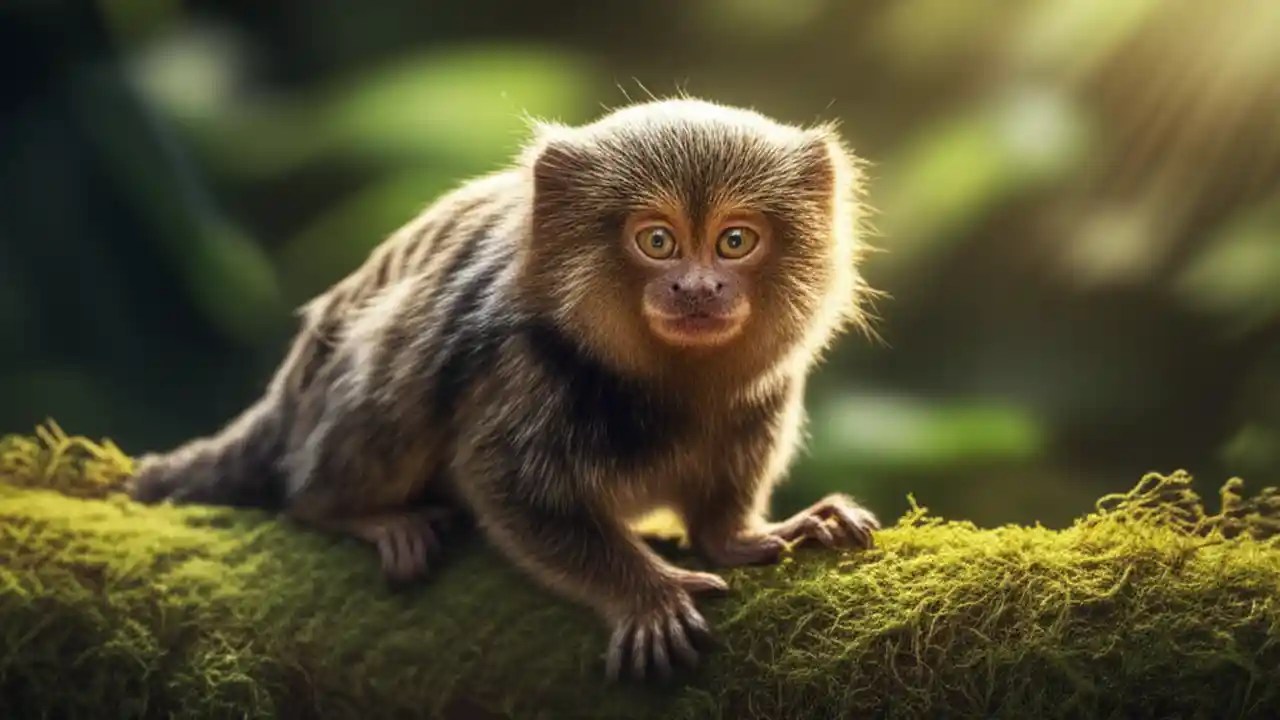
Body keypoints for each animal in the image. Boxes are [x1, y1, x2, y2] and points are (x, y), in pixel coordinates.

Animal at [127, 98, 881, 681]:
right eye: (658, 241)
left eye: (734, 242)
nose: (697, 288)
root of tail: (285, 399)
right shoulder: (522, 366)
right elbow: (511, 488)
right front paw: (647, 596)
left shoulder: (763, 389)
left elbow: (722, 508)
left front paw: (748, 534)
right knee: (383, 382)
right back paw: (358, 512)